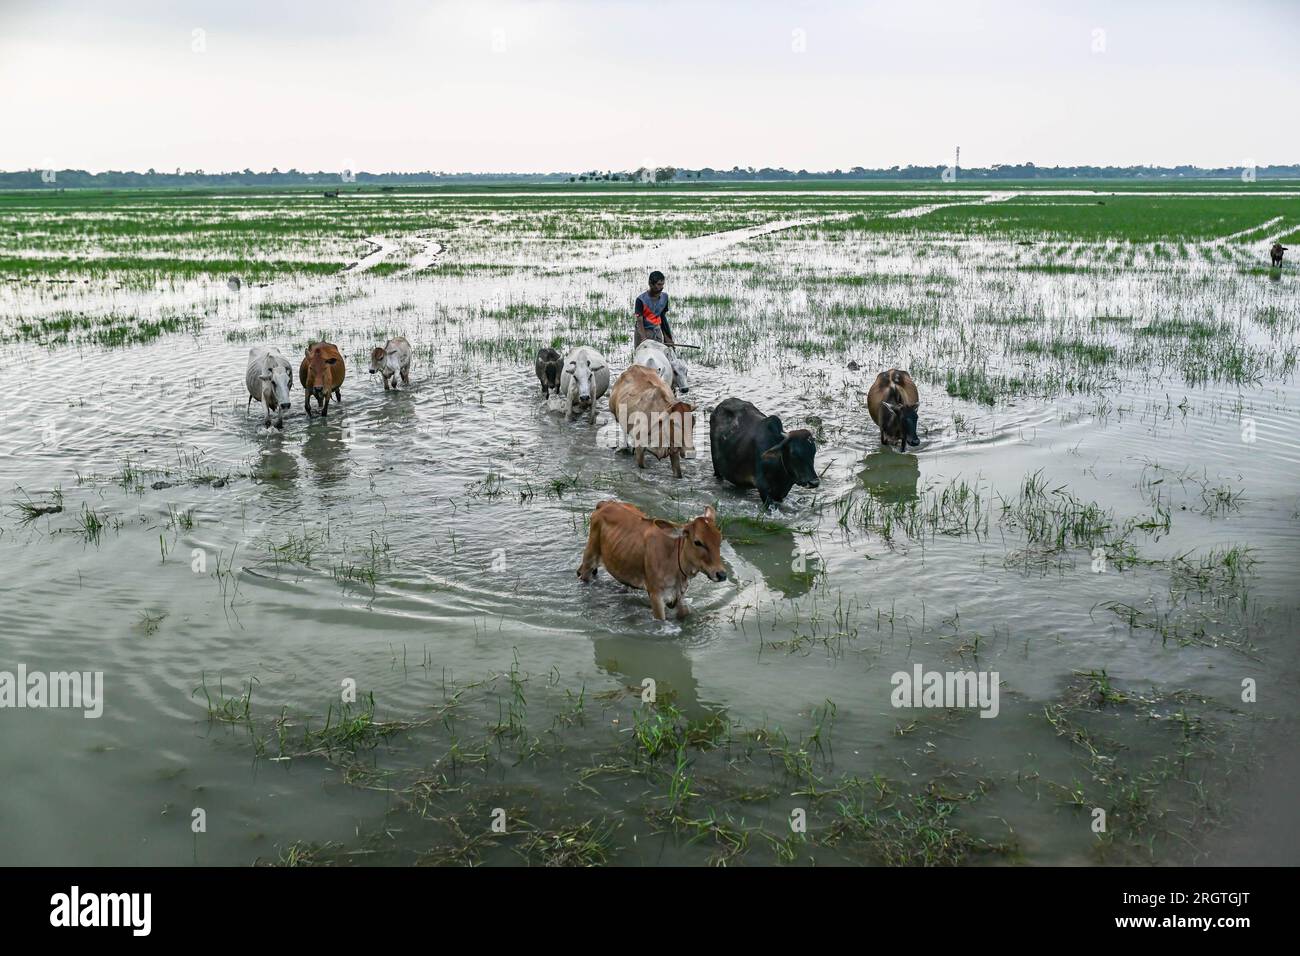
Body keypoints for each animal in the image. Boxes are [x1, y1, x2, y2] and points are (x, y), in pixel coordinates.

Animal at [577, 500, 727, 621]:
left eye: (719, 539)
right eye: (698, 542)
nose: (722, 574)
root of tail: (604, 504)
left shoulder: (679, 595)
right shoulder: (656, 595)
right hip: (589, 557)